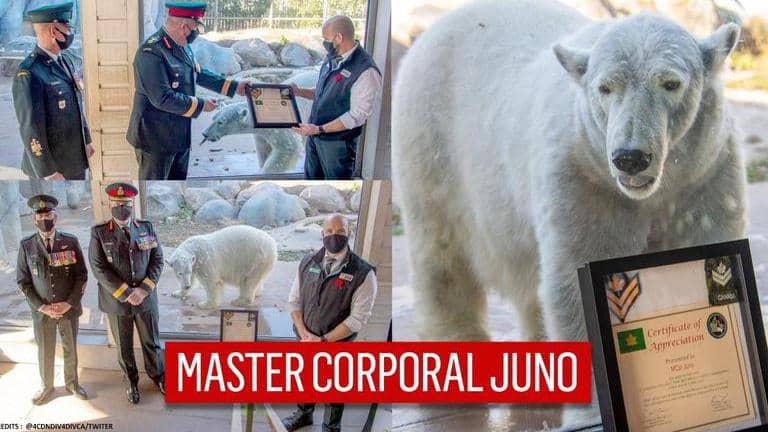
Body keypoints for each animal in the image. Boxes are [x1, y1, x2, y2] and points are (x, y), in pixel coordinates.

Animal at [393, 0, 745, 425]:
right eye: (605, 87)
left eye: (671, 83)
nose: (630, 157)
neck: (654, 190)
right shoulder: (584, 181)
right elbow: (577, 283)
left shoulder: (704, 177)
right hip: (433, 143)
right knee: (441, 250)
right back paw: (454, 342)